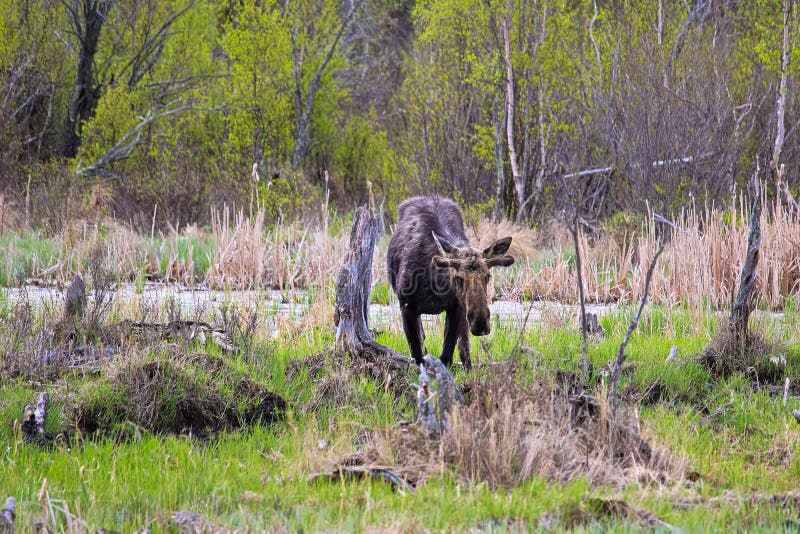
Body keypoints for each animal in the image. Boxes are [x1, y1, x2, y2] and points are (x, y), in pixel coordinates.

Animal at [387, 197, 515, 369]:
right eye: (459, 277)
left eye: (488, 276)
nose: (481, 324)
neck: (435, 285)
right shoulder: (407, 306)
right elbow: (417, 355)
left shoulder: (456, 307)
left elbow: (447, 356)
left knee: (464, 345)